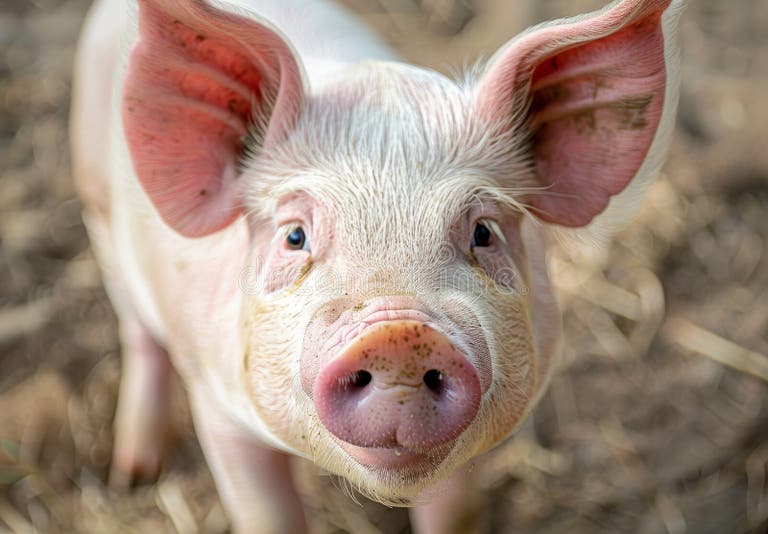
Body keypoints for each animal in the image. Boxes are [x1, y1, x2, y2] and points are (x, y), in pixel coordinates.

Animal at [70, 0, 684, 531]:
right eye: (295, 236)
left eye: (483, 233)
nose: (399, 335)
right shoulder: (218, 406)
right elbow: (267, 514)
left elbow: (455, 513)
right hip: (97, 203)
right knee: (137, 328)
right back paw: (131, 473)